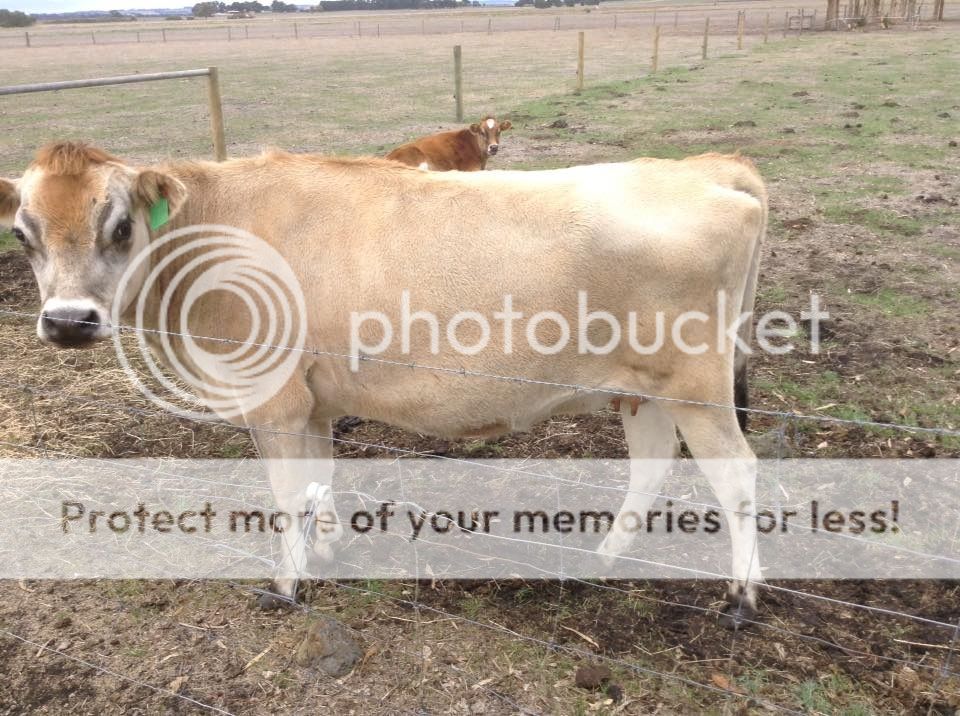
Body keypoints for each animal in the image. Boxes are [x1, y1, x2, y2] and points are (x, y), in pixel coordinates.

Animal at [0, 142, 766, 626]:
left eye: (120, 225)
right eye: (22, 234)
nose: (67, 322)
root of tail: (710, 167)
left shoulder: (274, 398)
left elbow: (287, 493)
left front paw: (286, 586)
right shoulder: (313, 399)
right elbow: (319, 478)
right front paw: (328, 549)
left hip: (695, 385)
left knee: (737, 473)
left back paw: (742, 597)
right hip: (644, 389)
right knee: (652, 465)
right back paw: (603, 558)